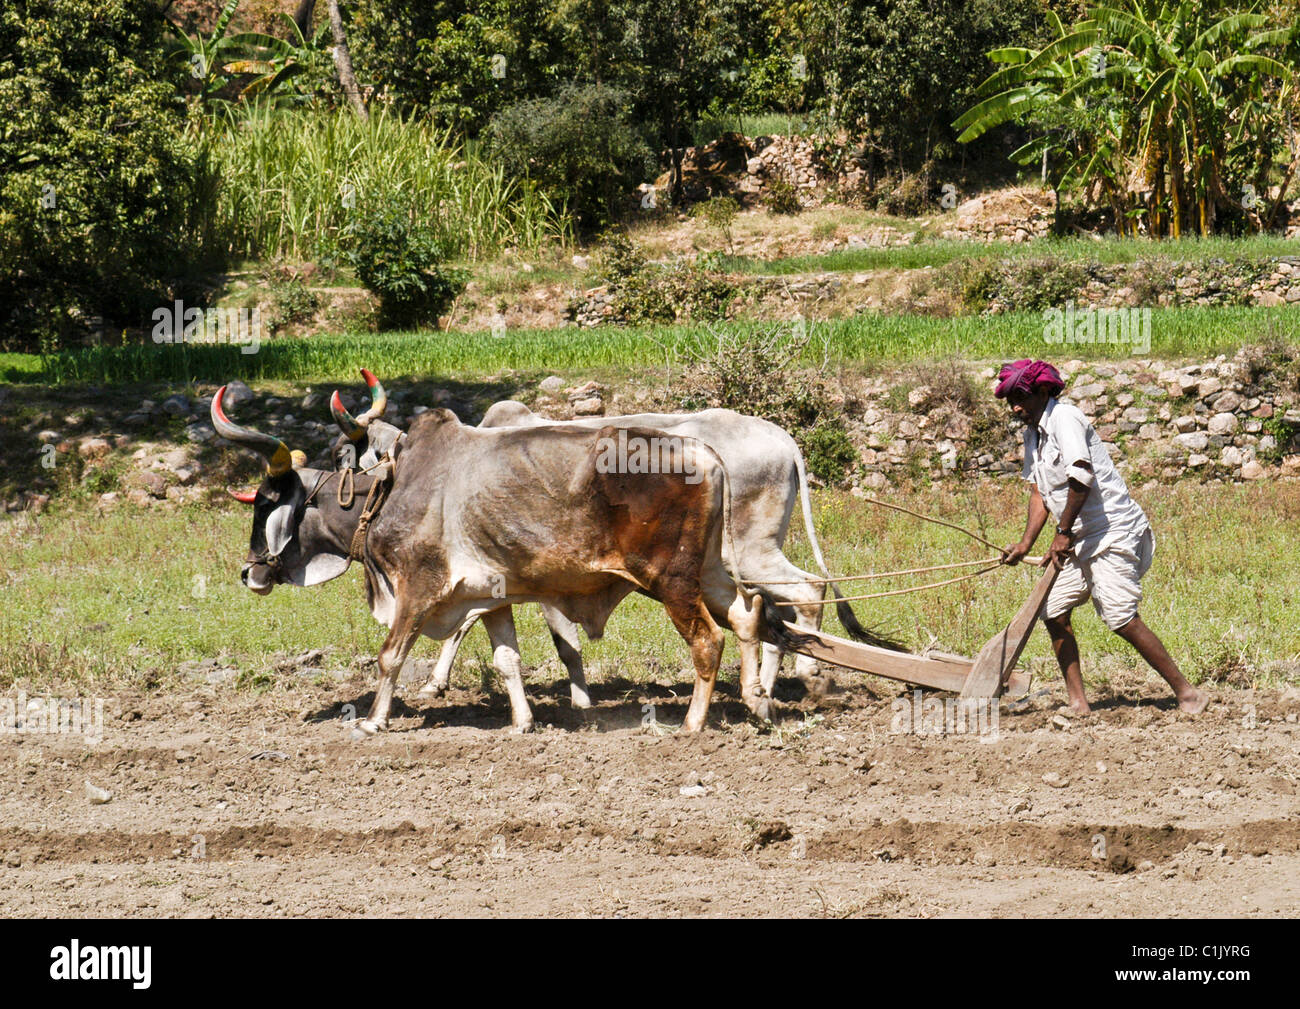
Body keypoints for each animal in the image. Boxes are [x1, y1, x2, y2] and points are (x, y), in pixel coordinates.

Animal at [213, 385, 810, 734]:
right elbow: (507, 661)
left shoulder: (418, 589)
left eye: (265, 501)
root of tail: (707, 454)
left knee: (714, 638)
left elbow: (390, 656)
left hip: (674, 581)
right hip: (712, 571)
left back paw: (693, 725)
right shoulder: (487, 596)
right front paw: (523, 722)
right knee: (749, 617)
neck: (389, 491)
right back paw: (759, 702)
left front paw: (374, 722)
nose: (249, 571)